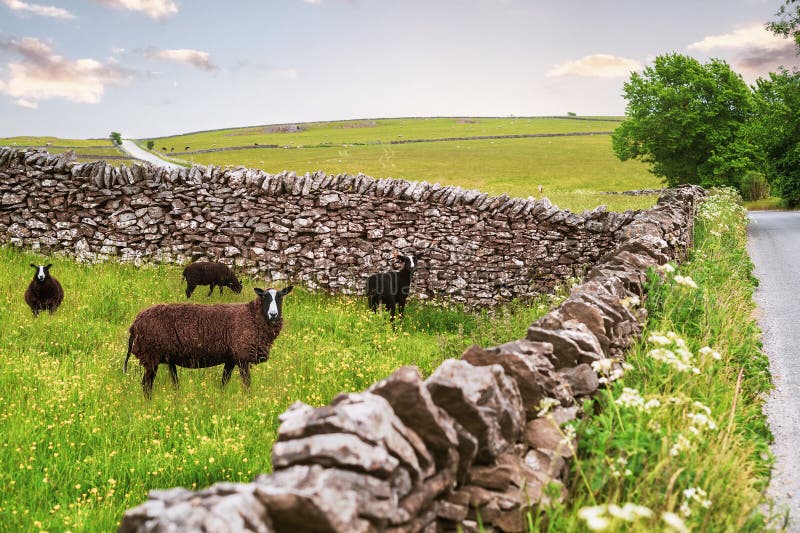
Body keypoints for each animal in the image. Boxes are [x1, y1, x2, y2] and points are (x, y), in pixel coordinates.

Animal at [124, 286, 293, 397]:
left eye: (280, 297)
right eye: (264, 297)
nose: (273, 314)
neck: (252, 316)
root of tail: (134, 324)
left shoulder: (231, 359)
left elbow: (224, 383)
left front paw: (222, 399)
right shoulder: (242, 357)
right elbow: (247, 384)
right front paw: (249, 401)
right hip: (151, 355)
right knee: (146, 385)